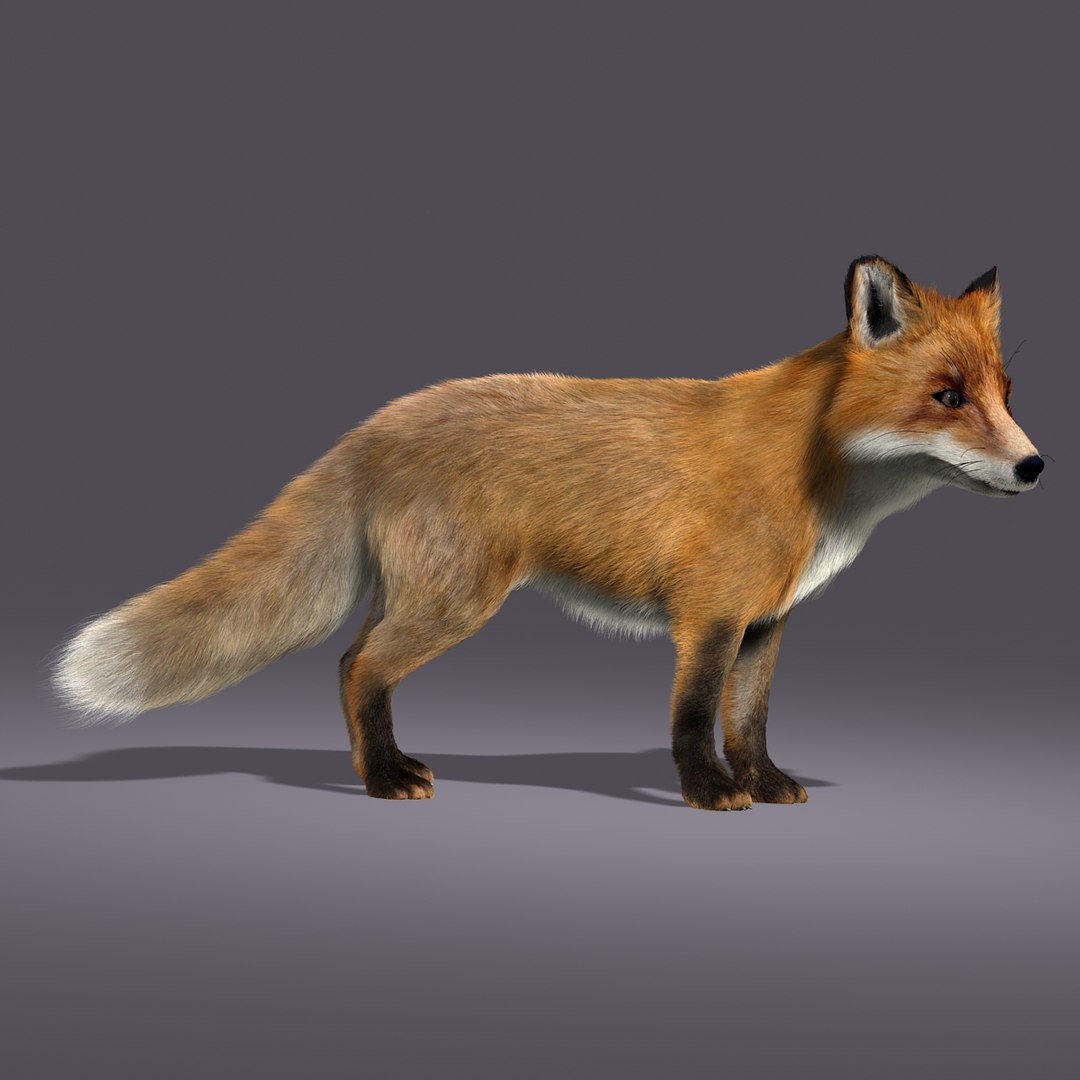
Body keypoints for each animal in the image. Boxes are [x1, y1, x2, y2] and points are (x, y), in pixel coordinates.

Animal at [54, 256, 1043, 810]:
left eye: (1003, 394)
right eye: (946, 396)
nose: (1036, 467)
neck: (813, 473)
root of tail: (374, 423)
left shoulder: (765, 622)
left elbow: (751, 721)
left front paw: (762, 783)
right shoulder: (708, 618)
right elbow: (694, 718)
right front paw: (710, 793)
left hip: (426, 597)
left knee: (350, 662)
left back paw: (386, 763)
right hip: (456, 602)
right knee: (356, 666)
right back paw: (382, 779)